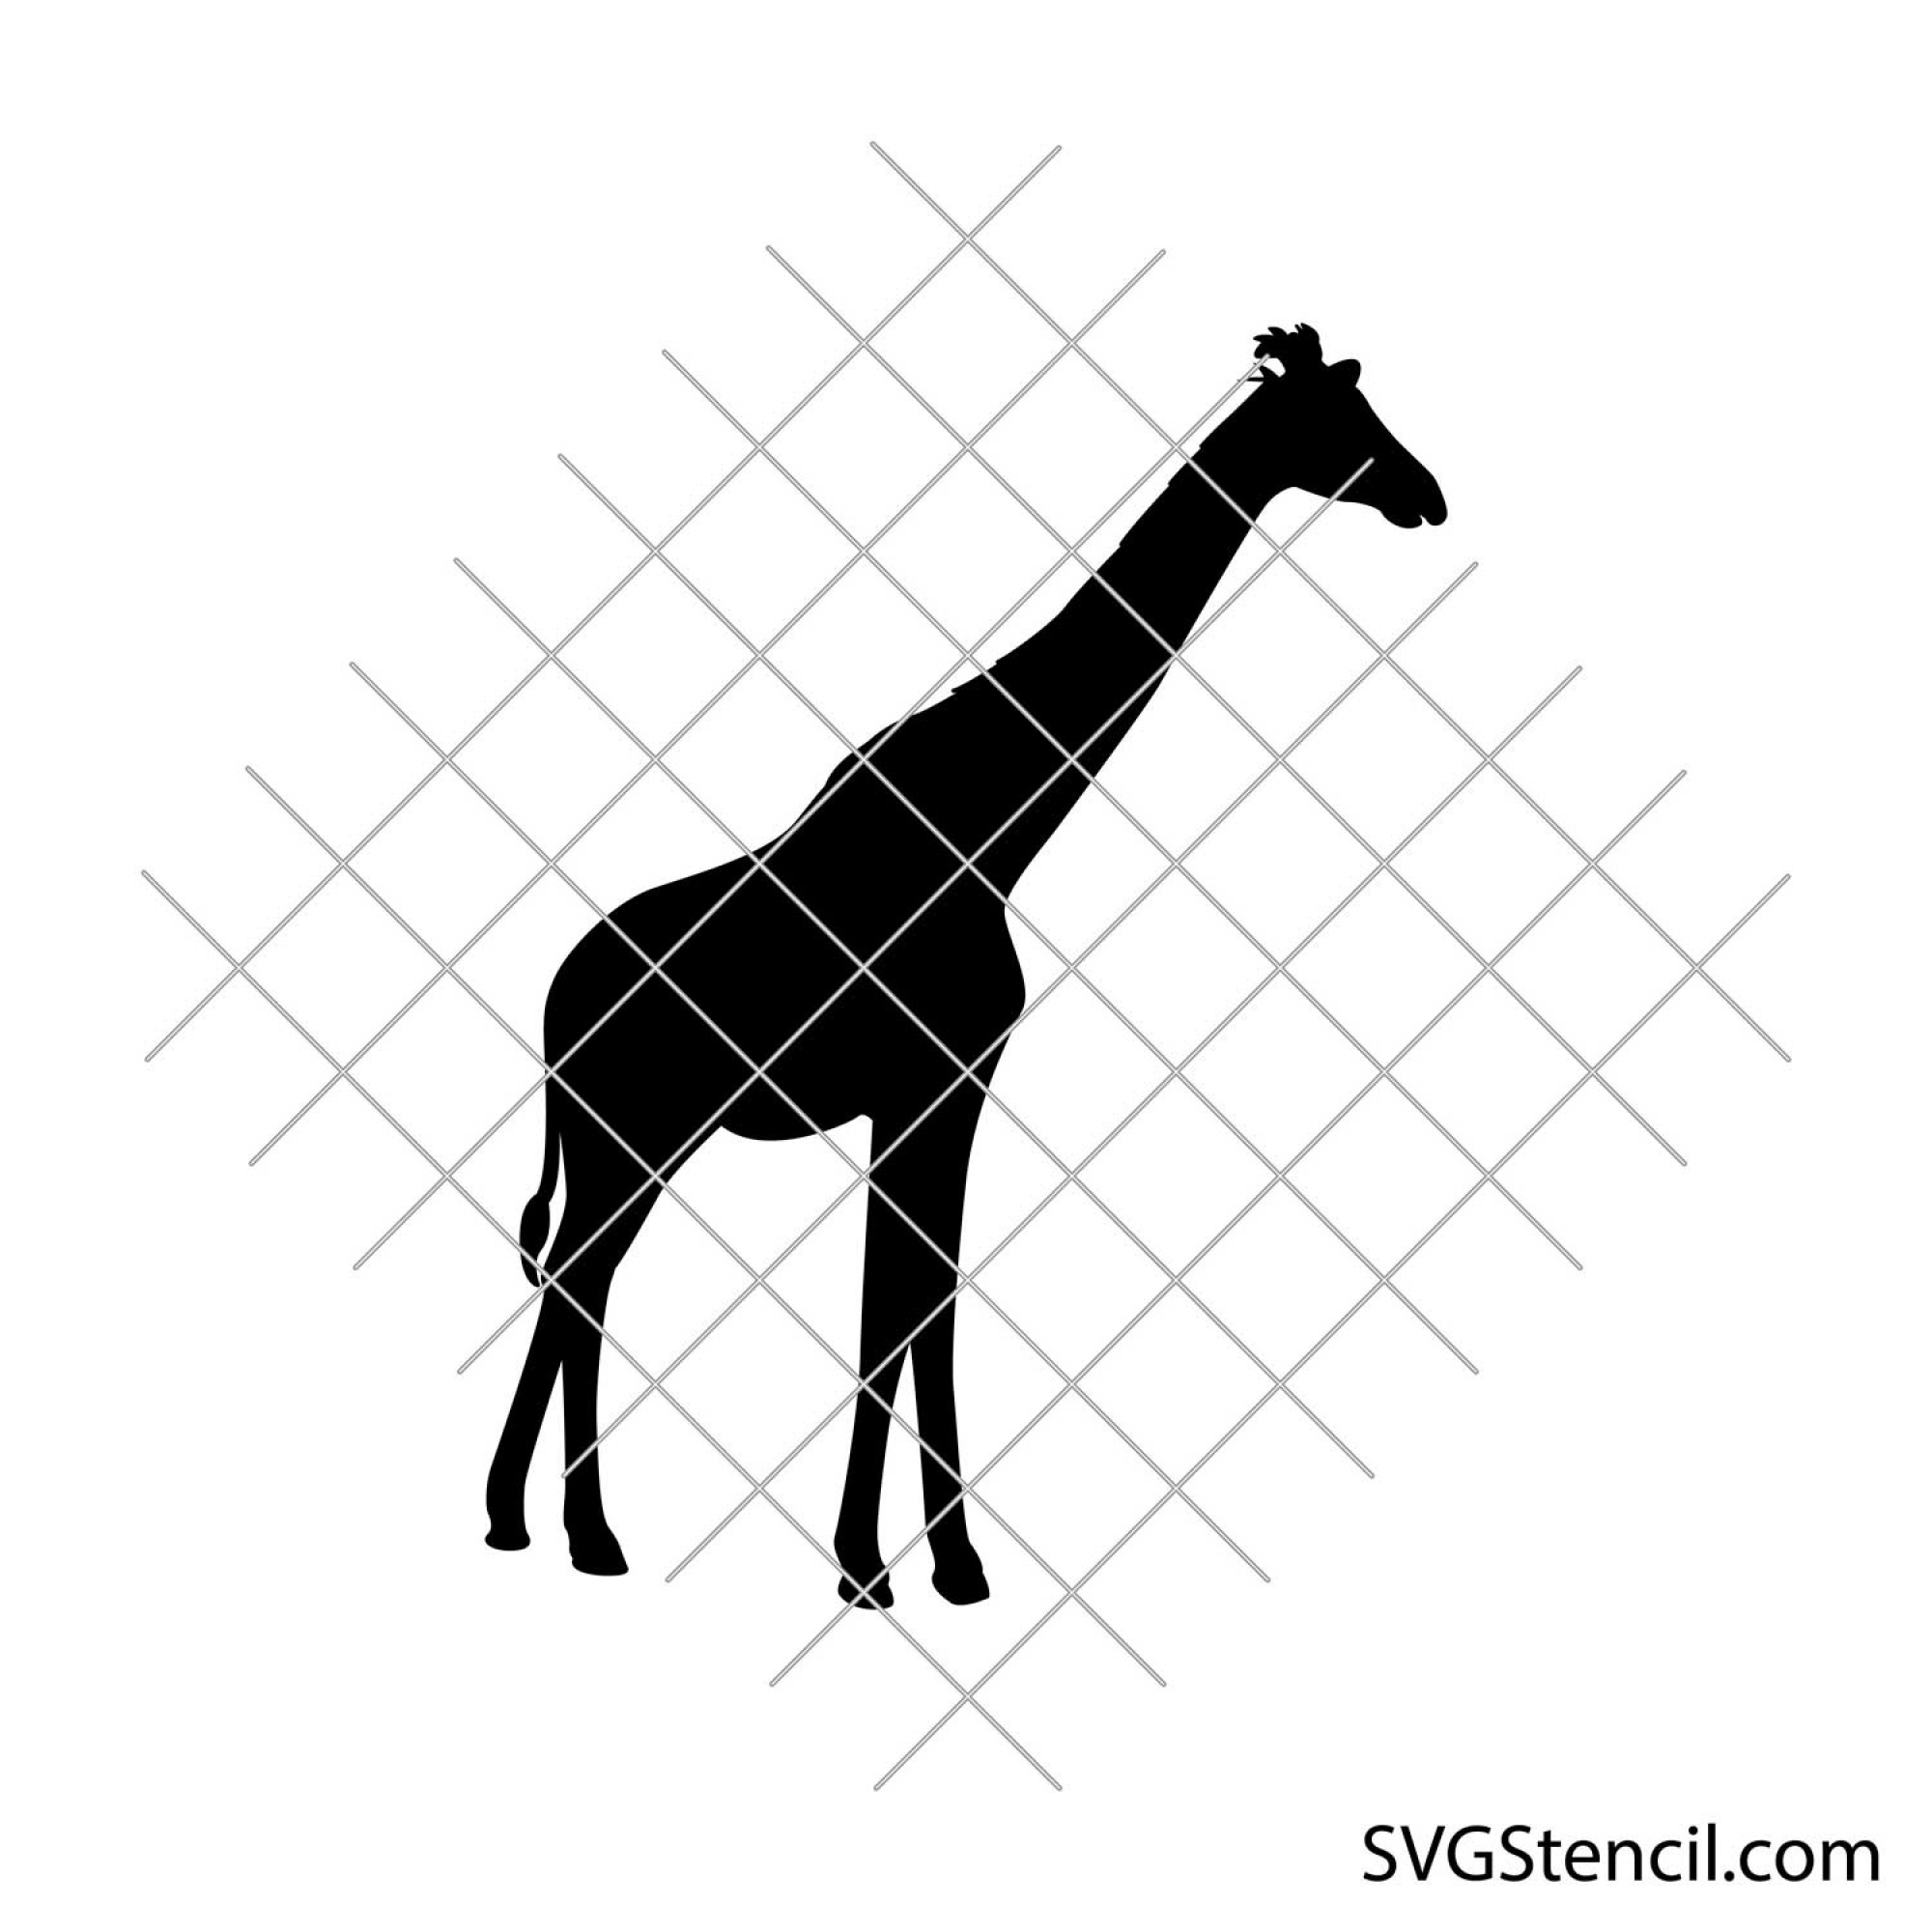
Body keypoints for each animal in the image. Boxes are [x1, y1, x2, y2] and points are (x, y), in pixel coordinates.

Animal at [484, 324, 1447, 1605]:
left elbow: (920, 1294)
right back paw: (584, 1532)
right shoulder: (930, 1083)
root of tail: (552, 1001)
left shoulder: (945, 1087)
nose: (1425, 495)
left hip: (621, 1135)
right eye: (1343, 422)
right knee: (582, 1281)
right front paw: (889, 1563)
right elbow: (900, 1302)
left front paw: (916, 1559)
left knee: (570, 1280)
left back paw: (524, 1521)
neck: (986, 832)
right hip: (632, 1127)